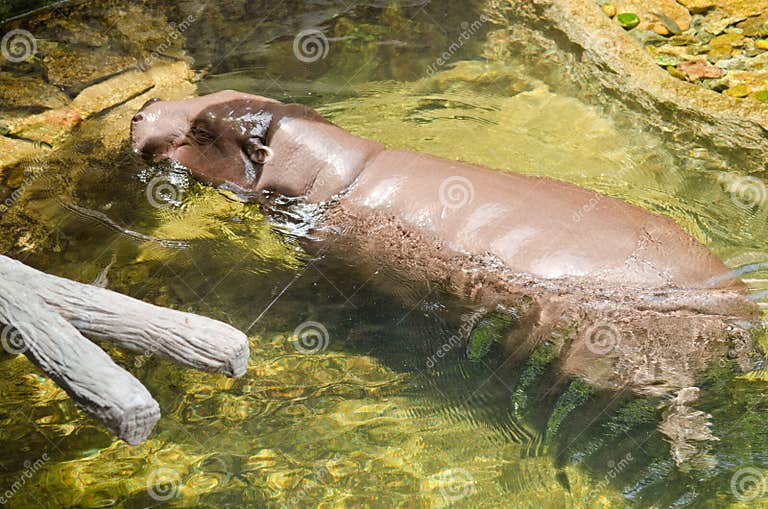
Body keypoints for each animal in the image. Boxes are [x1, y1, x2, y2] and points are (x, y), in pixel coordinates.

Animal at [130, 90, 762, 395]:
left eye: (204, 131)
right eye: (215, 90)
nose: (142, 109)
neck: (339, 169)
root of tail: (744, 316)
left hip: (605, 356)